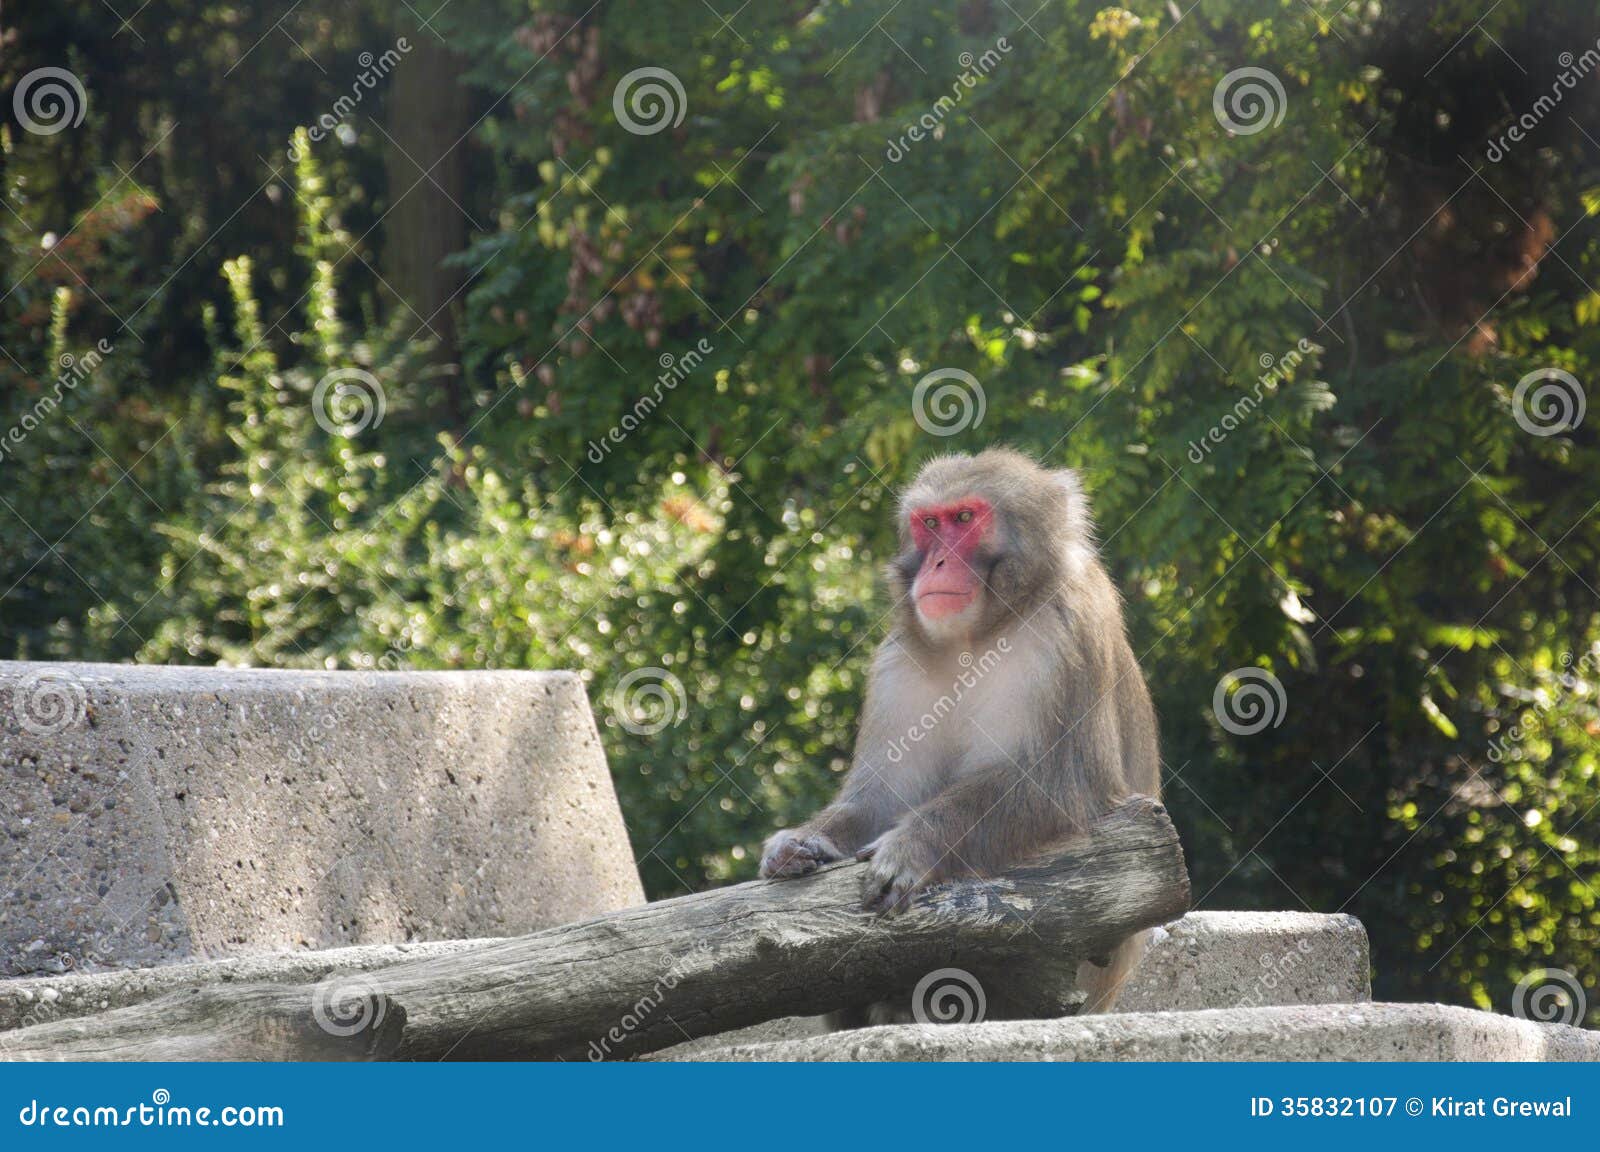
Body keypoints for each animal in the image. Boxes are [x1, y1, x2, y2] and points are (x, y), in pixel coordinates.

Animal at [758, 448, 1161, 1016]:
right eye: (930, 524)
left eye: (966, 518)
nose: (937, 564)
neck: (979, 634)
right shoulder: (898, 662)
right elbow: (881, 798)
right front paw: (804, 840)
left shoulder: (1065, 635)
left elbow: (1060, 788)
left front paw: (915, 845)